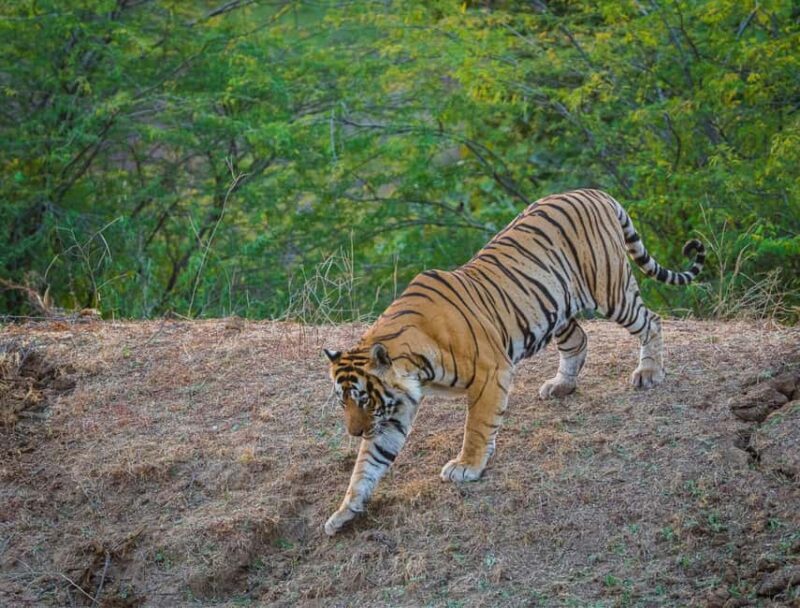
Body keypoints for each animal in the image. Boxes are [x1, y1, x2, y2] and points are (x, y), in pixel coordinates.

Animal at [322, 188, 704, 536]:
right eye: (343, 403)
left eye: (363, 399)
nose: (354, 432)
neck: (414, 366)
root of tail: (595, 192)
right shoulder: (394, 410)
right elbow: (369, 464)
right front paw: (345, 511)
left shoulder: (490, 373)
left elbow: (477, 427)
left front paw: (467, 466)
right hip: (556, 309)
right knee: (579, 339)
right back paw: (561, 385)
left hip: (610, 289)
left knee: (650, 320)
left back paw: (649, 372)